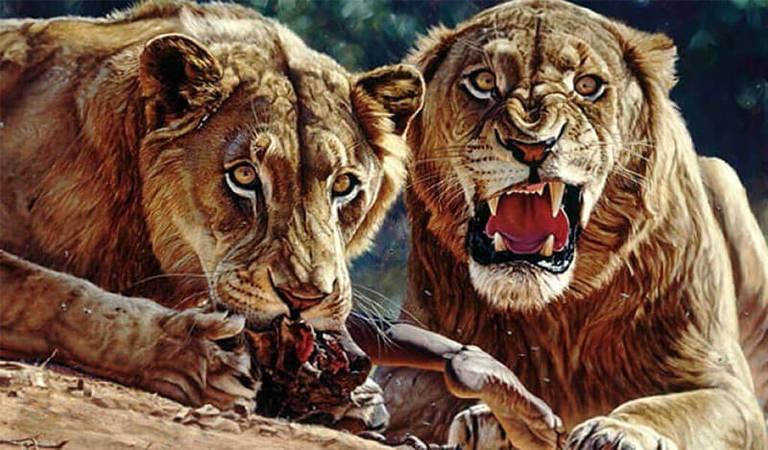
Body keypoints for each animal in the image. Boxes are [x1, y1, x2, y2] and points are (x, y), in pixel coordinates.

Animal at [0, 0, 565, 442]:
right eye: (244, 176)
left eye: (344, 185)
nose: (302, 298)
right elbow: (56, 294)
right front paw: (194, 356)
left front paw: (517, 403)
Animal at [375, 0, 768, 448]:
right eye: (483, 81)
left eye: (587, 85)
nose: (531, 144)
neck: (554, 313)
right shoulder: (401, 373)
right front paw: (497, 418)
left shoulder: (725, 386)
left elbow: (669, 409)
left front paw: (616, 431)